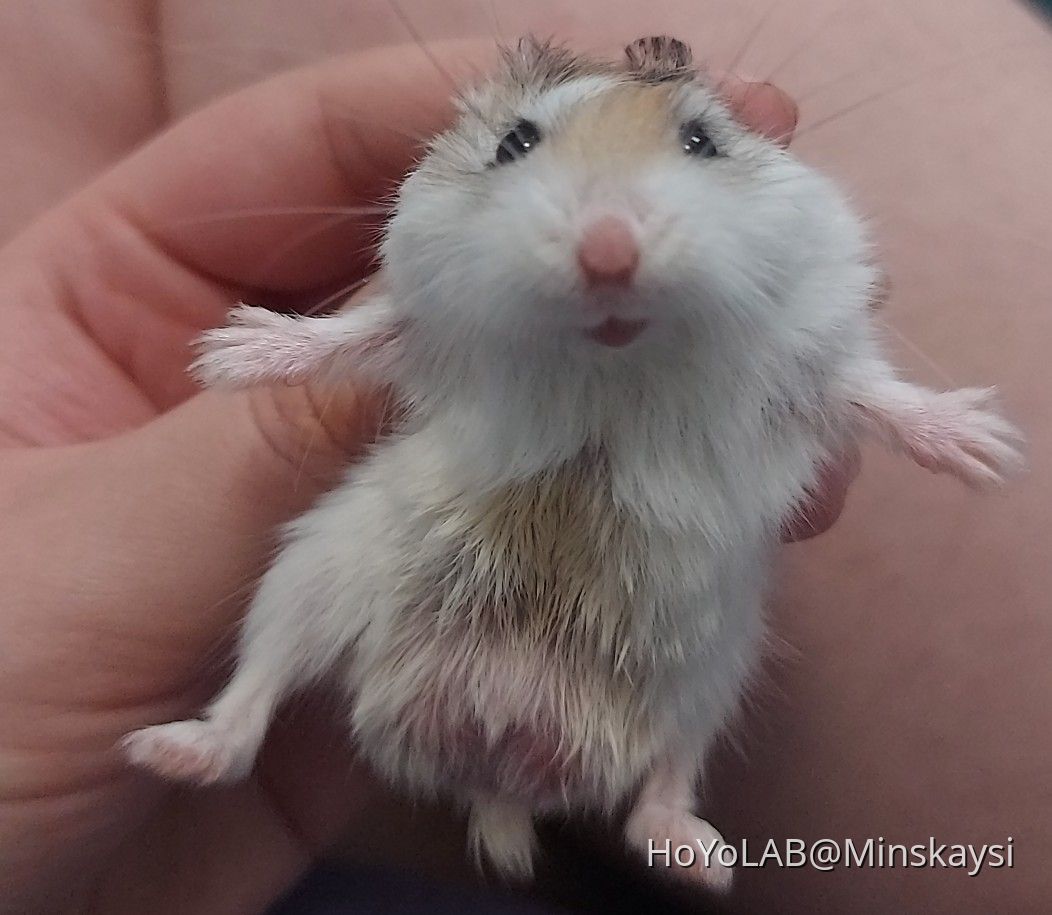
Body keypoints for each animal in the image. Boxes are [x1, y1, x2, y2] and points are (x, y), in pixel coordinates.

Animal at [120, 36, 1022, 891]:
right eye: (514, 142)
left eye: (701, 141)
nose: (609, 253)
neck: (613, 364)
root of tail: (497, 754)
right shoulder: (411, 313)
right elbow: (352, 333)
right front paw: (227, 356)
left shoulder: (819, 347)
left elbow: (876, 394)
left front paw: (994, 451)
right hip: (310, 576)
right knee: (250, 707)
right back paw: (161, 749)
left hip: (713, 670)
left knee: (659, 791)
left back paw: (703, 858)